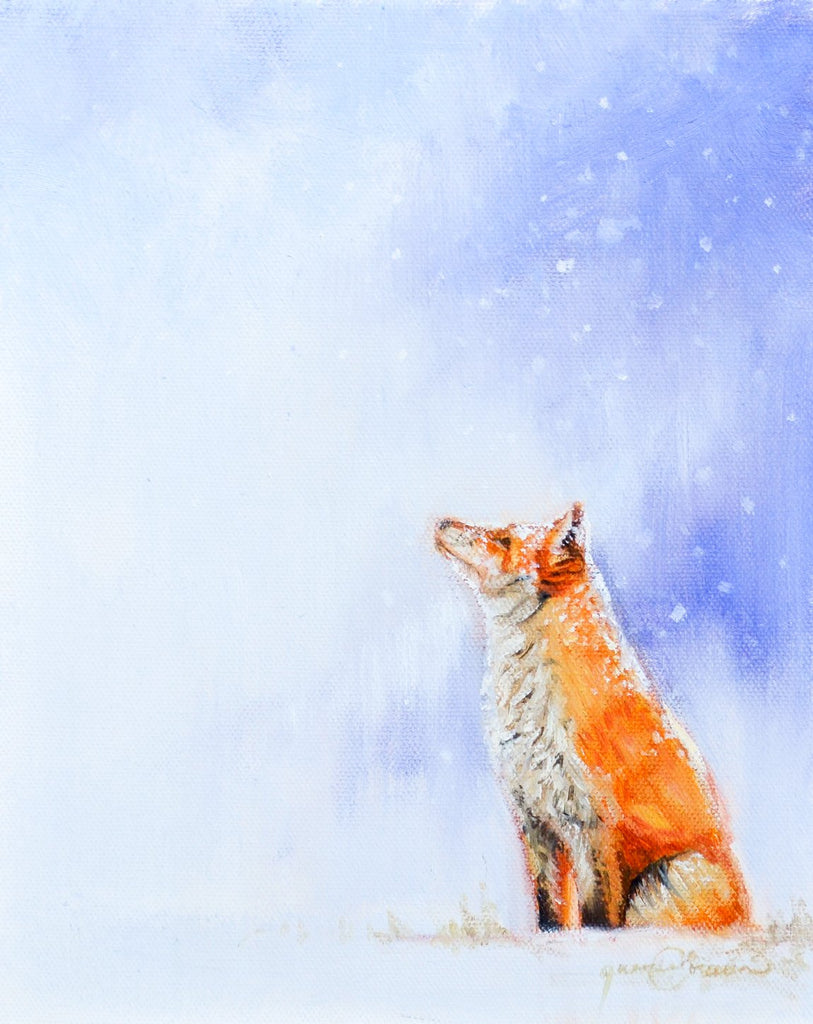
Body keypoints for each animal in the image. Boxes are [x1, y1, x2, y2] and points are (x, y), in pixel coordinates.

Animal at [435, 503, 749, 930]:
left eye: (504, 540)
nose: (441, 522)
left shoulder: (594, 822)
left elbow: (600, 912)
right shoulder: (535, 818)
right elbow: (549, 907)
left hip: (662, 882)